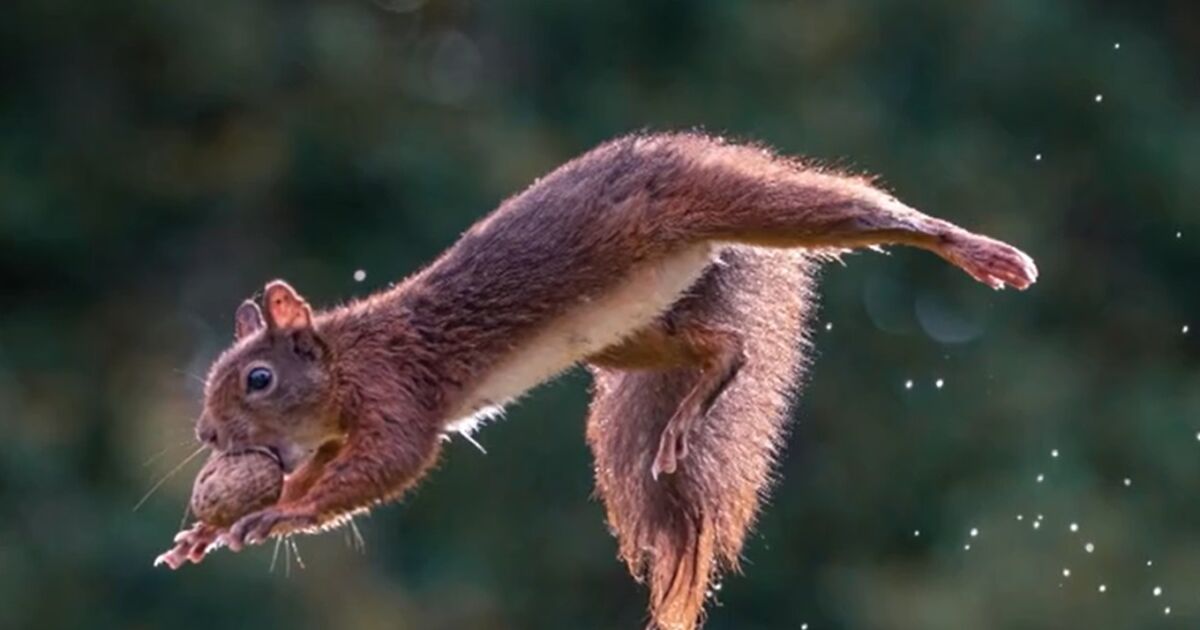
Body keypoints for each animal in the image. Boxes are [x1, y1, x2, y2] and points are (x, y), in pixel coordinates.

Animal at [161, 132, 1037, 630]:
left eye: (258, 378)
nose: (204, 434)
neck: (346, 359)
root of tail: (689, 142)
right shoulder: (333, 433)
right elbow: (316, 472)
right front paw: (207, 532)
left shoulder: (396, 395)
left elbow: (386, 468)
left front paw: (276, 517)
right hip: (624, 339)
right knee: (727, 349)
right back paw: (693, 406)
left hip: (731, 202)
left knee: (846, 213)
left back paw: (967, 245)